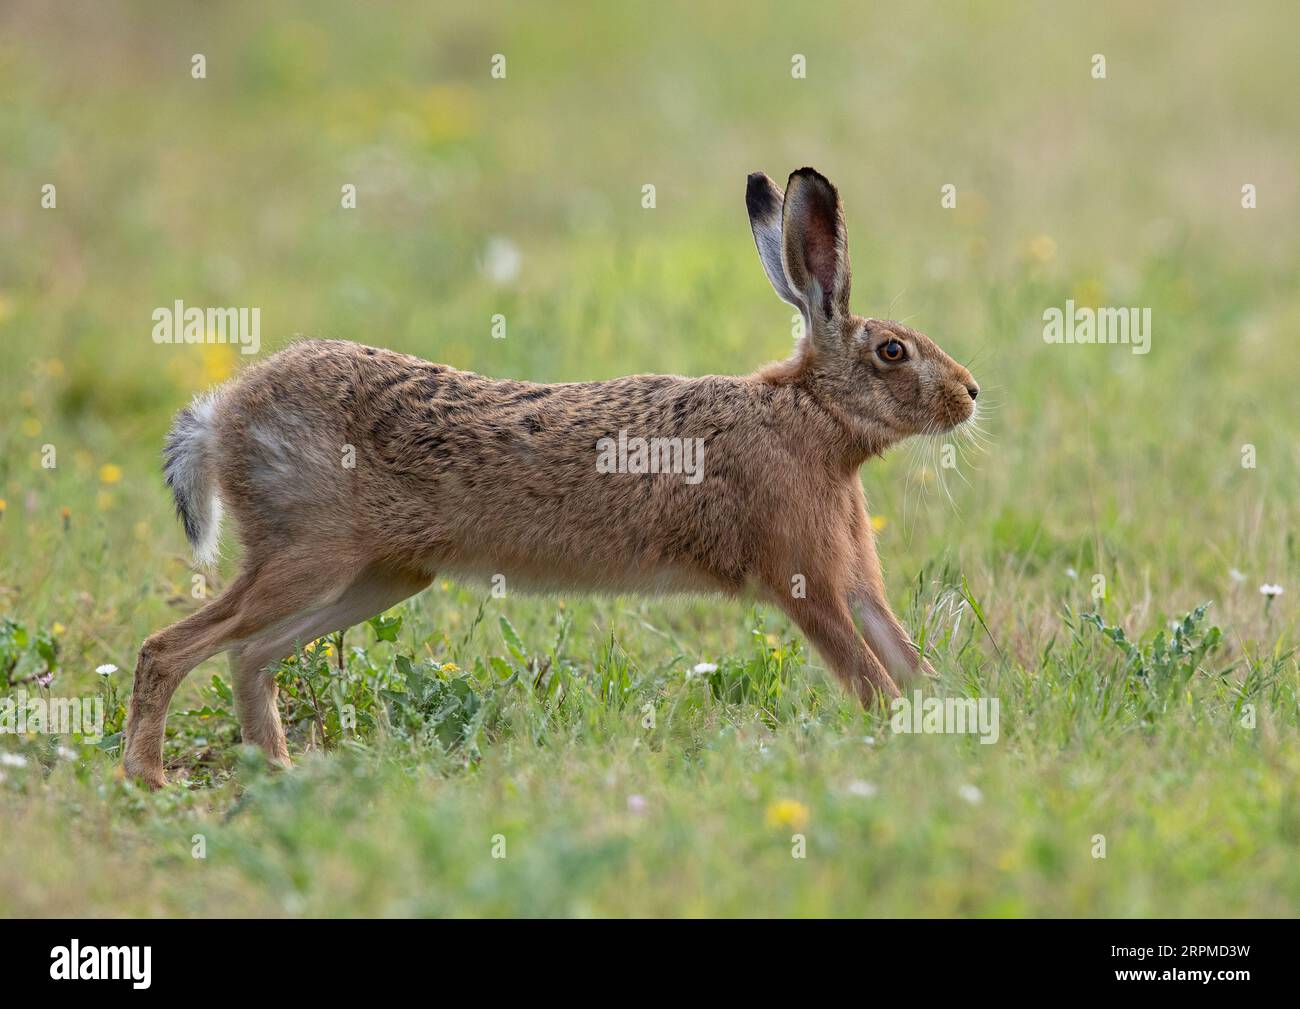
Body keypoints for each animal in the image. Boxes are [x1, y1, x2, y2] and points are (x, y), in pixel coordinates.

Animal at [123, 167, 979, 787]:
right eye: (893, 351)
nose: (971, 392)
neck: (812, 412)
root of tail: (224, 413)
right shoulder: (806, 583)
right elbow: (868, 678)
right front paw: (899, 738)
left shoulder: (854, 577)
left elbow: (905, 656)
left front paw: (945, 719)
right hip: (308, 555)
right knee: (173, 647)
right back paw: (151, 778)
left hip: (379, 576)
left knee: (249, 656)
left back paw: (279, 771)